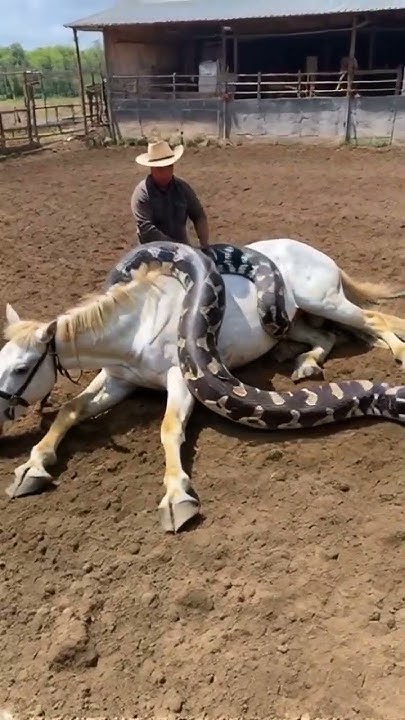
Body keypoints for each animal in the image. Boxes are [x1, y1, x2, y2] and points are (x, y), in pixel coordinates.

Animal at [0, 238, 404, 533]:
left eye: (21, 369)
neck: (138, 326)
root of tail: (313, 250)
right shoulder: (118, 378)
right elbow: (71, 410)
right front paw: (32, 466)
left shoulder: (181, 378)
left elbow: (169, 429)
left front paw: (176, 496)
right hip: (292, 320)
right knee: (327, 336)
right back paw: (303, 361)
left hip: (324, 301)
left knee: (375, 319)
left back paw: (397, 350)